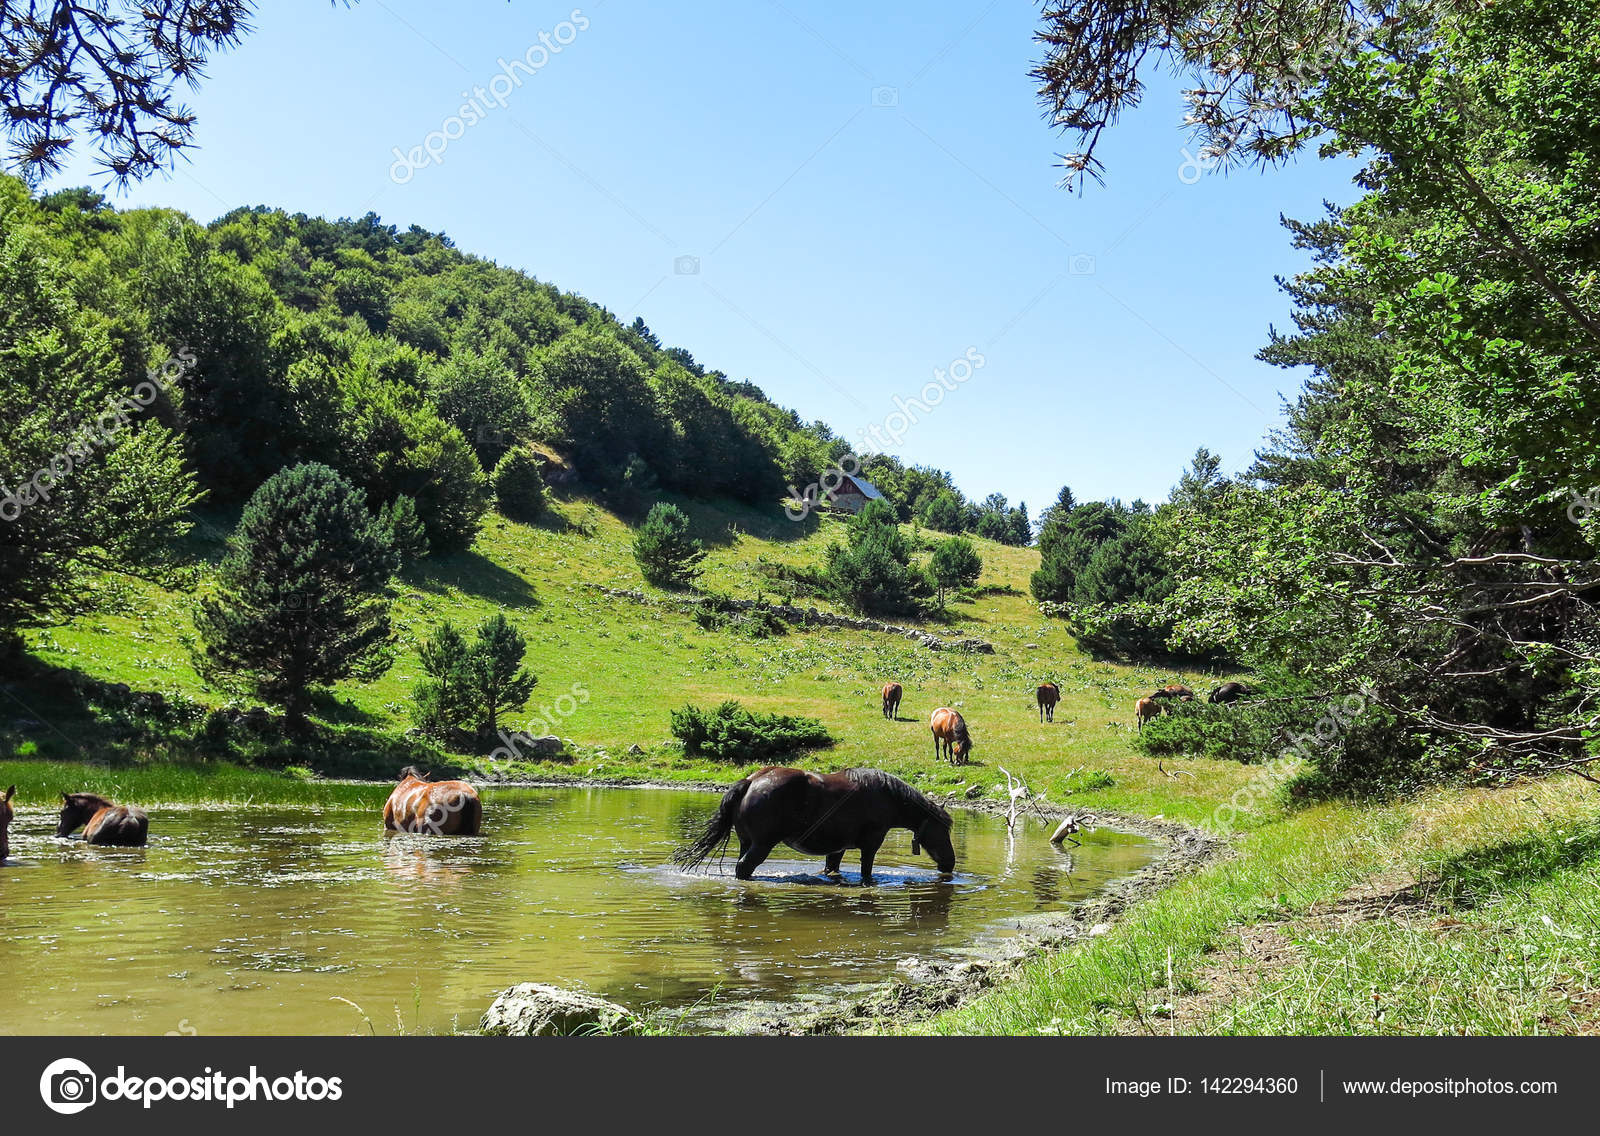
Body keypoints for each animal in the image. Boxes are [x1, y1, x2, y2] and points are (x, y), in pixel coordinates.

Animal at [672, 766, 956, 883]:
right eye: (942, 831)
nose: (950, 863)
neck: (887, 796)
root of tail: (751, 780)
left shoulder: (837, 849)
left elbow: (832, 869)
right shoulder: (870, 845)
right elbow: (866, 872)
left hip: (747, 842)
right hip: (762, 845)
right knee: (744, 868)